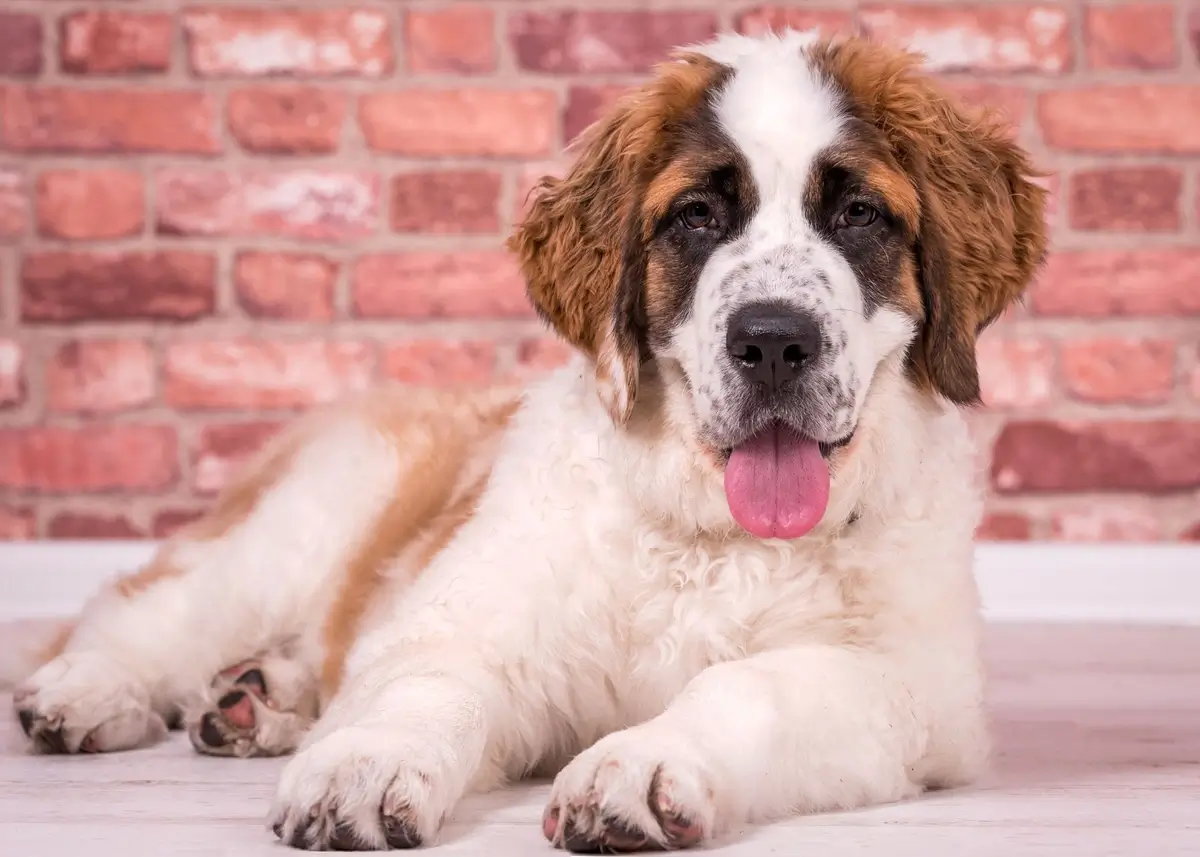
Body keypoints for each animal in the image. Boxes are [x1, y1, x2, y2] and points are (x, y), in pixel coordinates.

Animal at [4, 30, 1046, 849]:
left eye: (858, 213)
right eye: (697, 217)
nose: (773, 340)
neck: (712, 539)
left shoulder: (915, 690)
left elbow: (753, 684)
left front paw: (644, 763)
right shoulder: (465, 615)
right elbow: (428, 683)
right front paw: (365, 763)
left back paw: (259, 696)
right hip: (301, 522)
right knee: (154, 610)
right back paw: (90, 693)